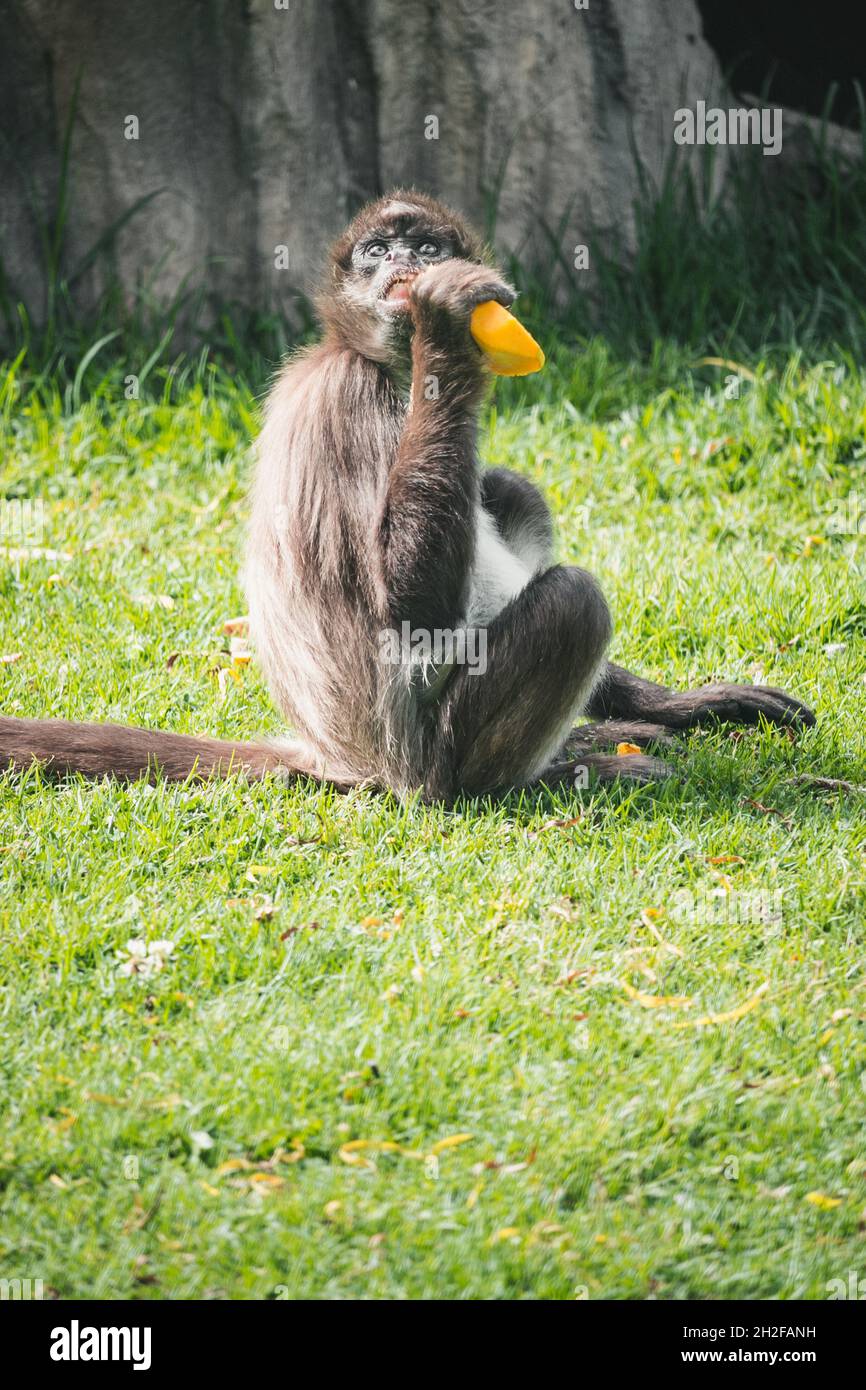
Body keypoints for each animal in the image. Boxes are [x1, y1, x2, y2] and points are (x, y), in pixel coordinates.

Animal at [0, 190, 814, 800]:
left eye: (424, 246)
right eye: (377, 252)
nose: (404, 263)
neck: (381, 366)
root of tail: (345, 757)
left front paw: (684, 702)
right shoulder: (350, 393)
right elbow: (412, 611)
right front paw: (446, 332)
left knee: (506, 487)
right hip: (426, 754)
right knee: (571, 601)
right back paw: (527, 781)